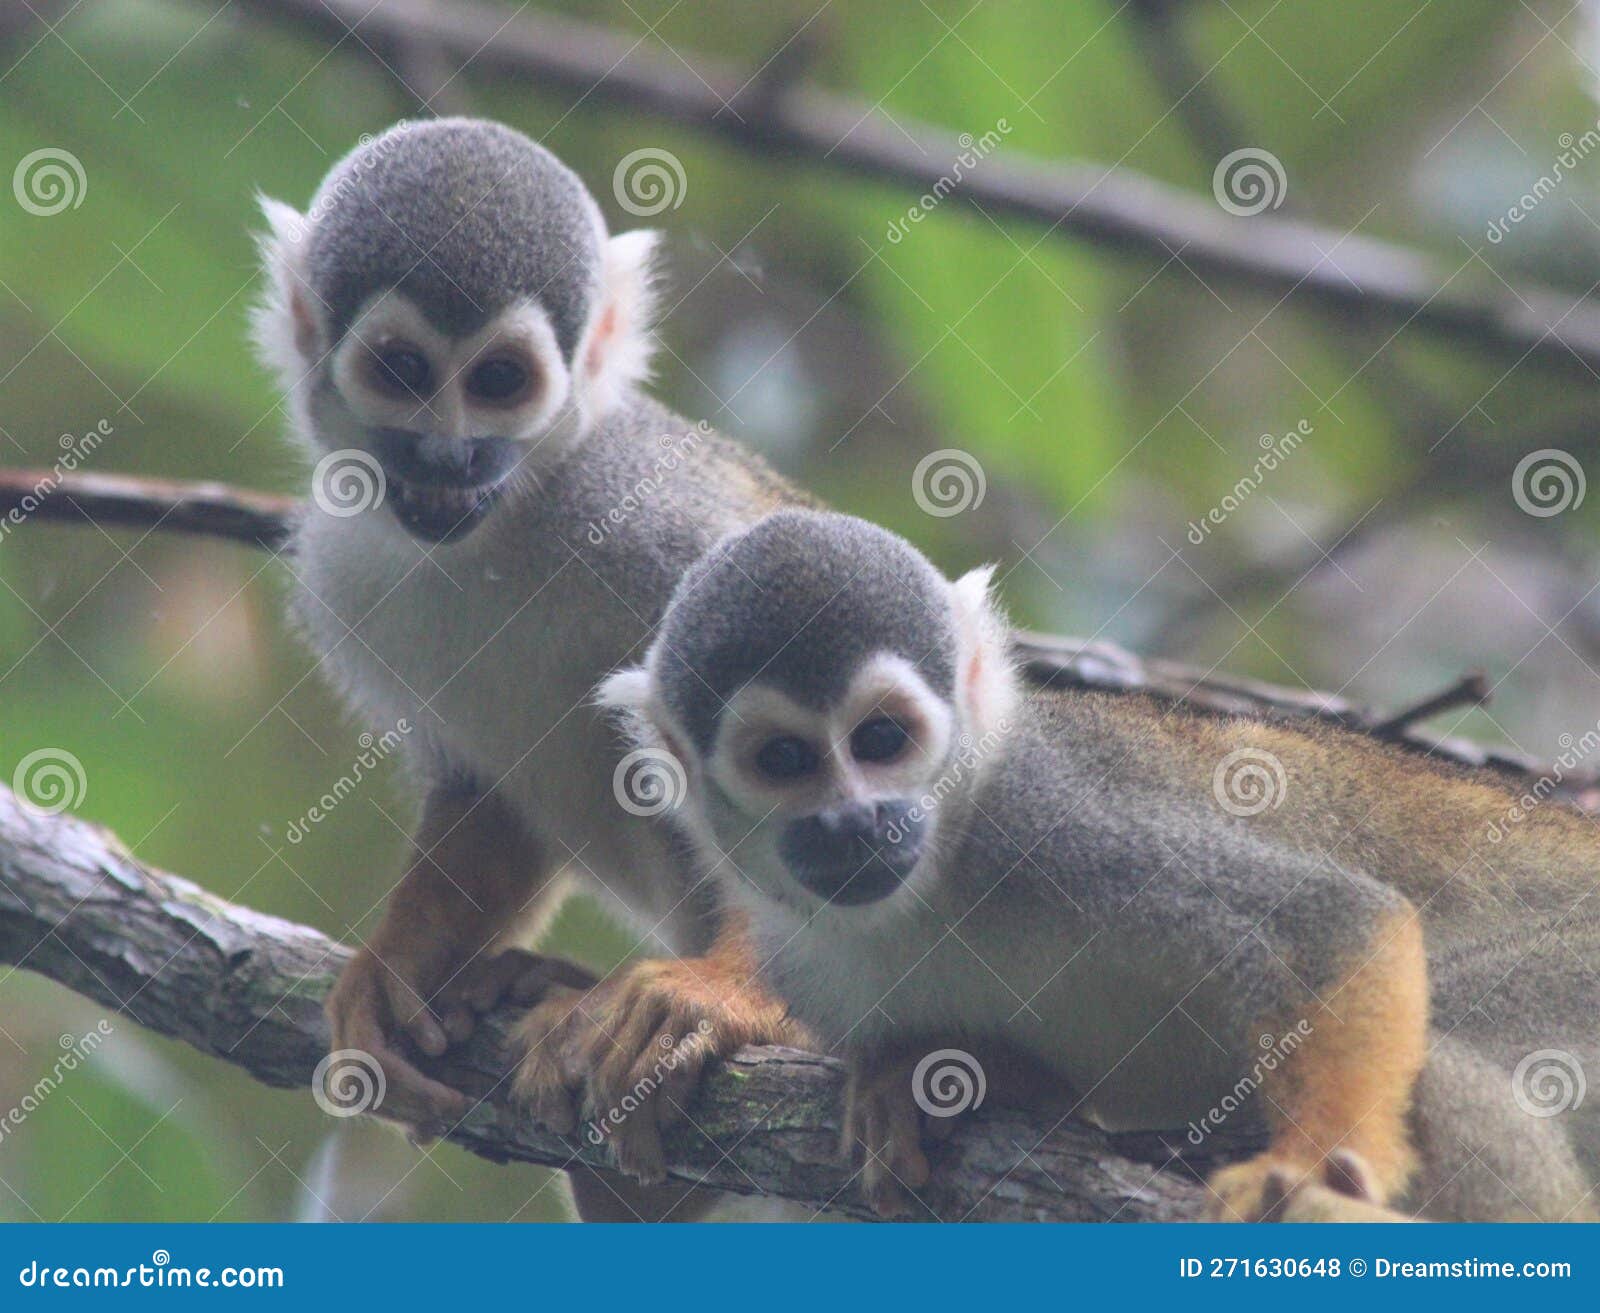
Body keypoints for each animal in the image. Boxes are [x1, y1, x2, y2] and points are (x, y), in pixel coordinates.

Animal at [251, 117, 817, 1210]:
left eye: (500, 382)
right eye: (400, 367)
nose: (446, 457)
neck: (509, 522)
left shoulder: (662, 516)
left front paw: (720, 994)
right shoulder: (347, 567)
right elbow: (483, 797)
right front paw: (401, 959)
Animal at [593, 507, 1600, 1222]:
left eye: (880, 739)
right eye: (785, 760)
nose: (855, 820)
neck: (934, 887)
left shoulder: (1061, 819)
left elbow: (1328, 923)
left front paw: (1307, 1166)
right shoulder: (807, 955)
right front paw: (918, 1076)